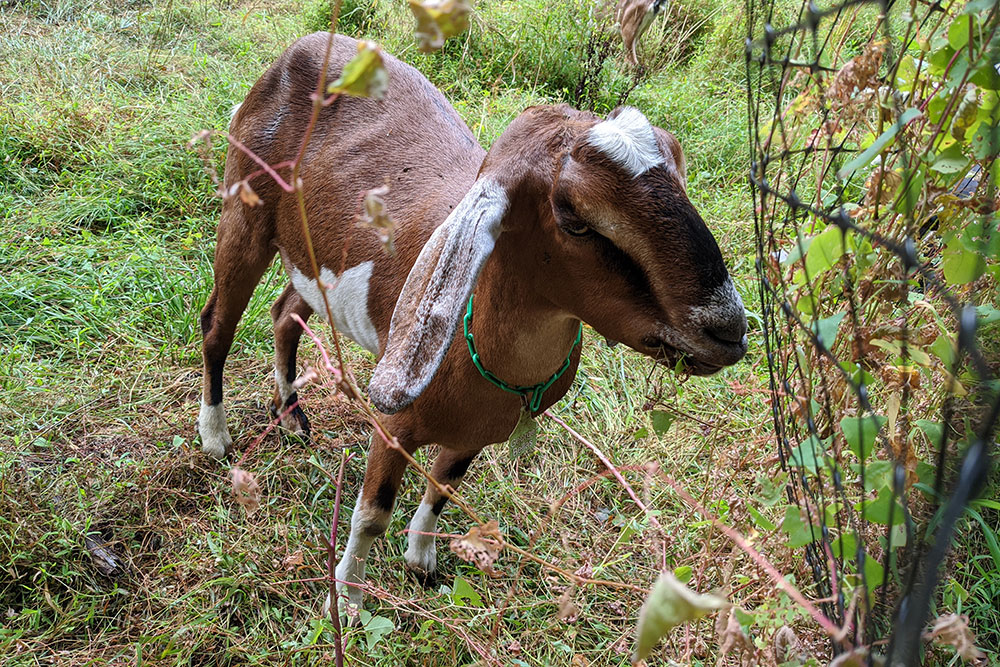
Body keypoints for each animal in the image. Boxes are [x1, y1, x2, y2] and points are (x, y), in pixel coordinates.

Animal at [197, 32, 747, 610]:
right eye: (574, 218)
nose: (728, 329)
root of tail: (305, 45)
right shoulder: (393, 426)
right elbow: (372, 516)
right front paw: (345, 601)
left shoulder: (478, 434)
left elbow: (444, 487)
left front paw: (421, 562)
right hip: (245, 207)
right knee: (217, 326)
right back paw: (216, 437)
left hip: (310, 256)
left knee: (285, 313)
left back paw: (292, 414)